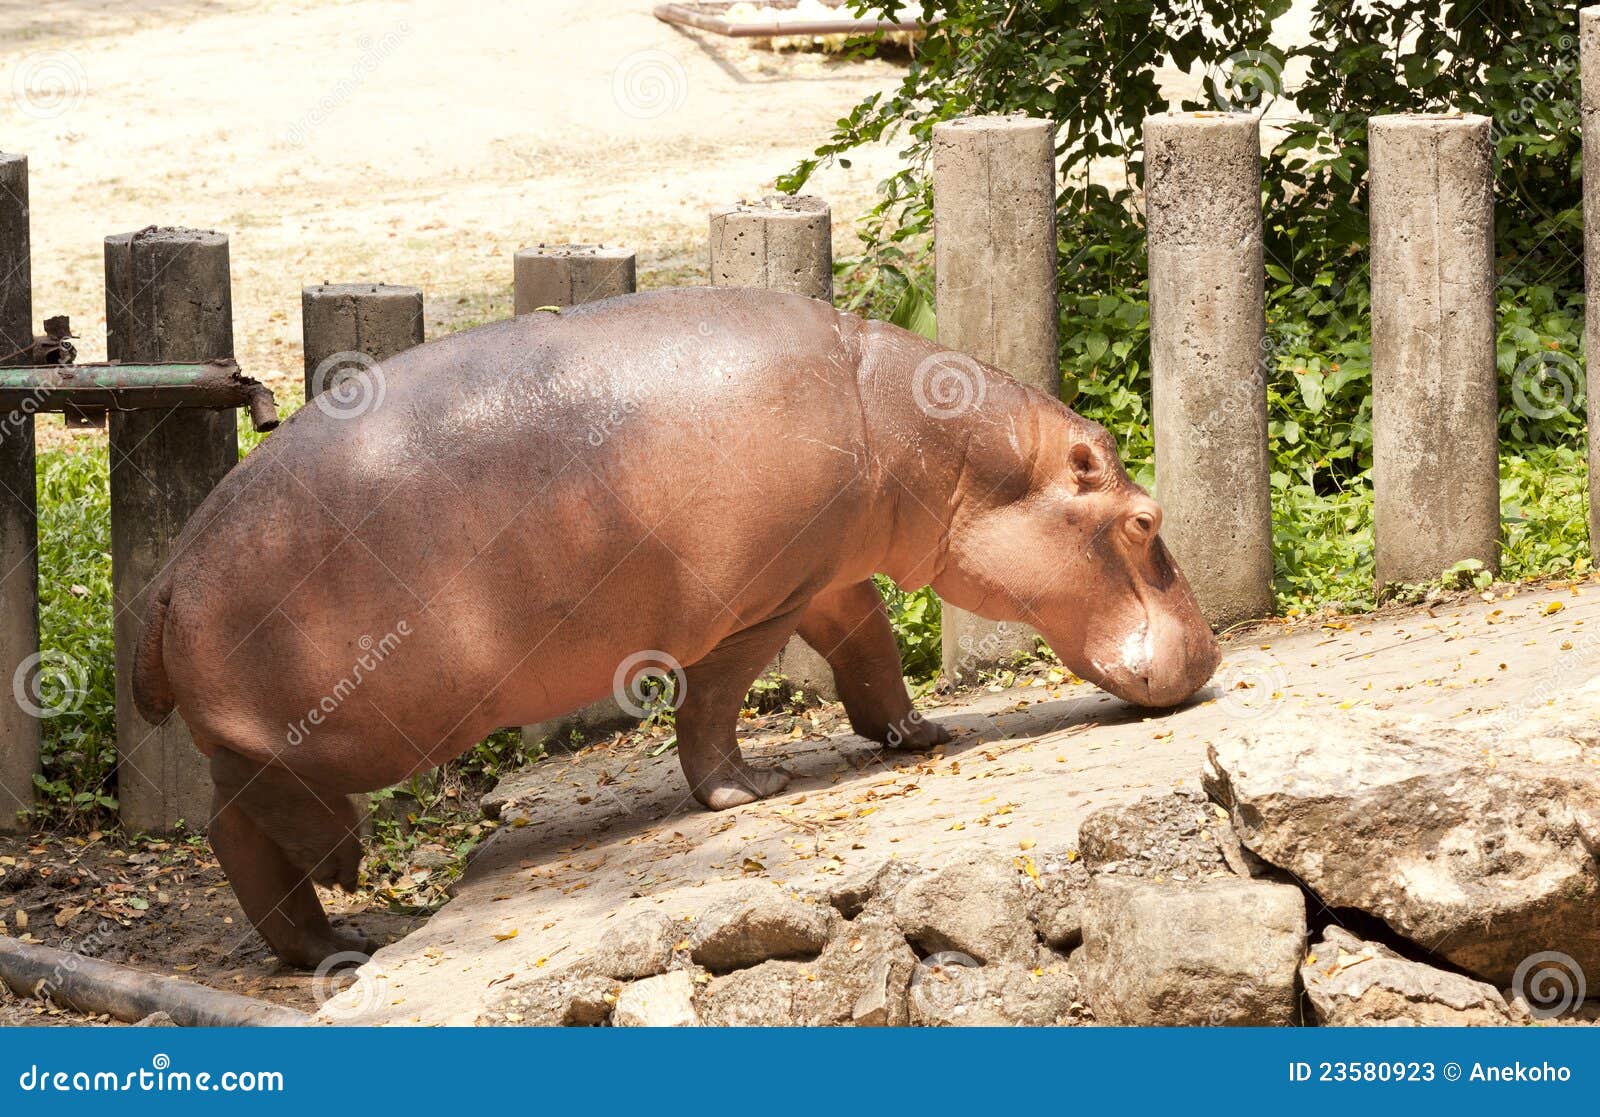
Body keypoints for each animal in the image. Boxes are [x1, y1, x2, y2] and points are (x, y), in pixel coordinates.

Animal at [133, 287, 1219, 967]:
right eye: (1145, 520)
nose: (1210, 650)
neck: (935, 441)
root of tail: (166, 576)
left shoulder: (824, 572)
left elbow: (868, 651)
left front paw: (919, 736)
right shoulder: (757, 602)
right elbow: (717, 701)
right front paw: (748, 792)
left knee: (238, 833)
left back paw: (329, 943)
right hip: (325, 736)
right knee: (254, 820)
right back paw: (346, 891)